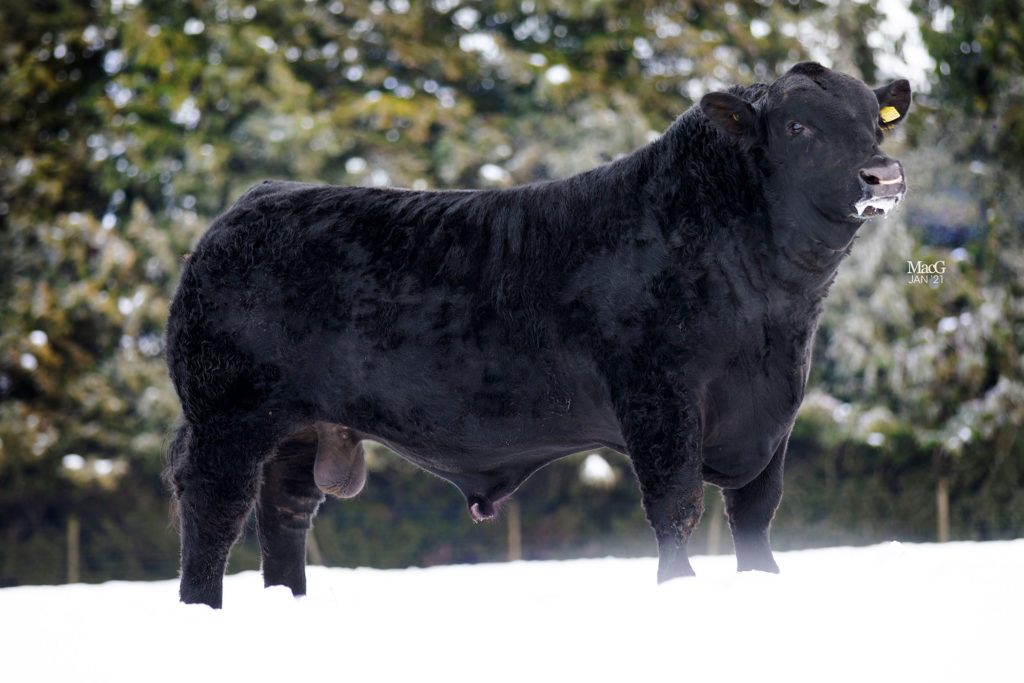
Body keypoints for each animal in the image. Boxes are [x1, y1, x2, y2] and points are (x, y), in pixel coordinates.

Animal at [164, 62, 911, 607]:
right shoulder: (659, 395)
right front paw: (678, 591)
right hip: (228, 414)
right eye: (797, 126)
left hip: (300, 426)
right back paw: (203, 609)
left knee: (284, 513)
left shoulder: (774, 408)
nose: (883, 175)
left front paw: (763, 585)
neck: (770, 312)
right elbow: (676, 504)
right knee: (213, 507)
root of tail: (257, 198)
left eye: (873, 124)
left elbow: (755, 512)